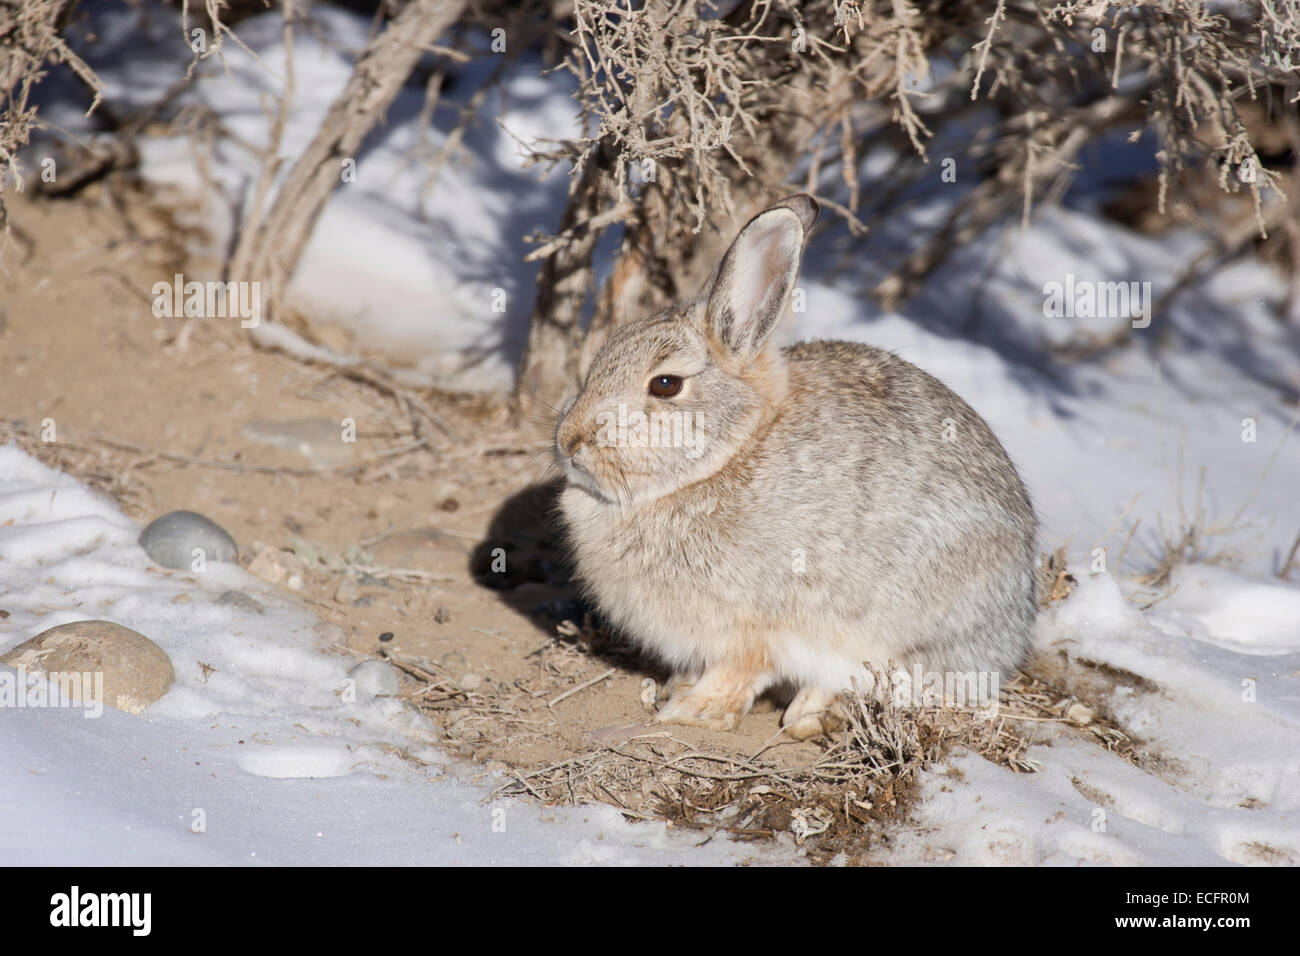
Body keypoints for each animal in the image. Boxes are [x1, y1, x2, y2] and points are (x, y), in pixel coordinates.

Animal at [553, 194, 1038, 738]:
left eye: (665, 385)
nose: (569, 441)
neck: (729, 454)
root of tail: (1011, 637)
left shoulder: (756, 625)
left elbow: (741, 670)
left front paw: (692, 712)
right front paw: (680, 691)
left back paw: (813, 715)